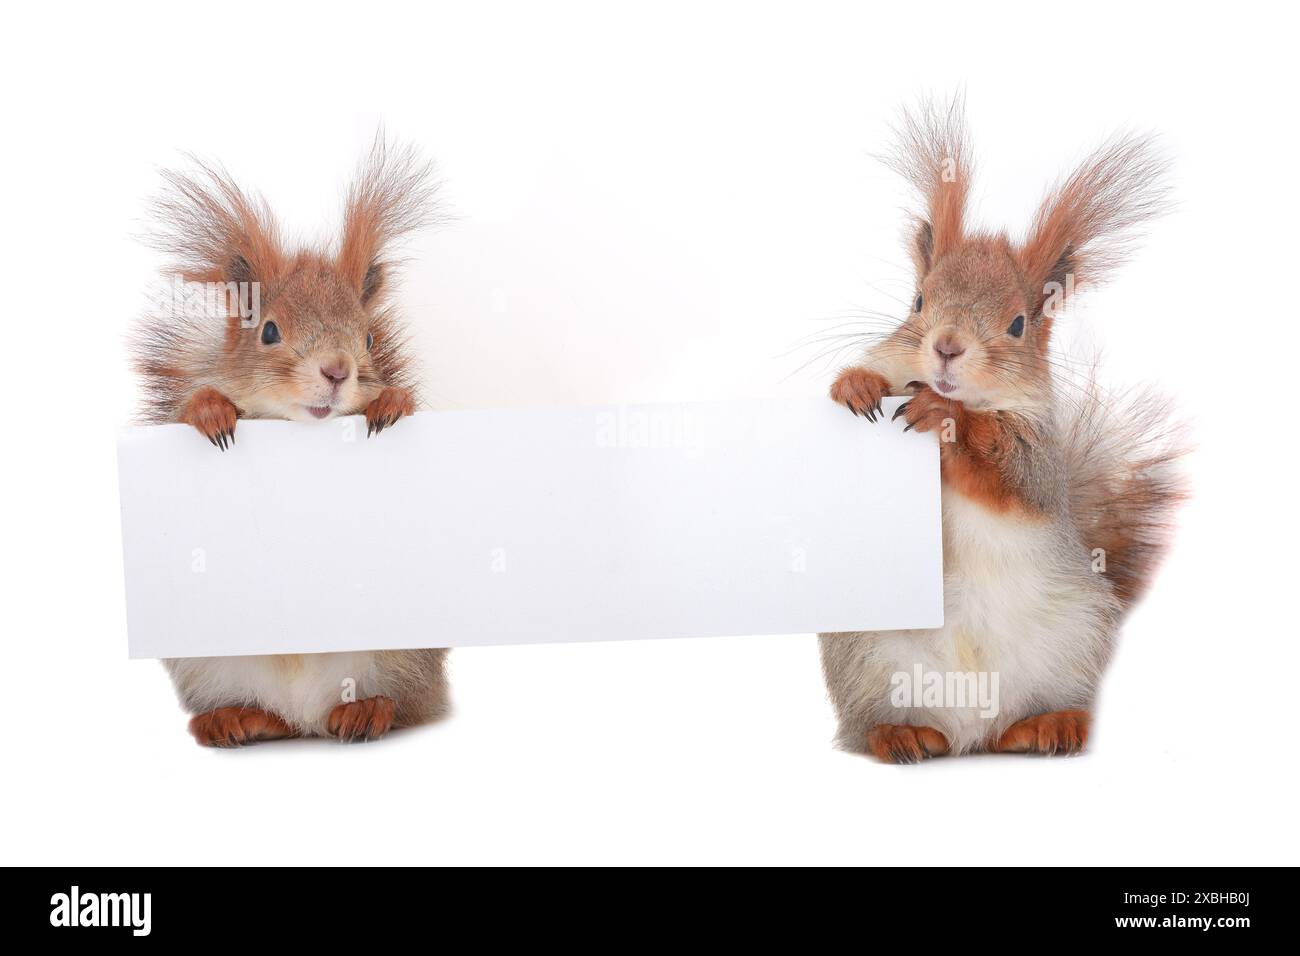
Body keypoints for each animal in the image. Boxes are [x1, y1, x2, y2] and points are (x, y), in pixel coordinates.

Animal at [131, 138, 449, 746]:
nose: (337, 370)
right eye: (269, 331)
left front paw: (391, 403)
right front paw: (211, 410)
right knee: (268, 715)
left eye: (368, 337)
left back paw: (366, 710)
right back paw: (235, 719)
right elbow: (191, 410)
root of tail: (307, 711)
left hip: (399, 658)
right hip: (211, 665)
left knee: (402, 706)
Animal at [820, 102, 1185, 762]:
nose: (947, 346)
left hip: (1075, 641)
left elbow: (1013, 478)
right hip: (863, 653)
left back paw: (1050, 725)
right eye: (917, 301)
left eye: (1017, 324)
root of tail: (969, 726)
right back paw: (902, 733)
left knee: (1020, 720)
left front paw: (948, 421)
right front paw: (855, 383)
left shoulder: (1042, 456)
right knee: (872, 726)